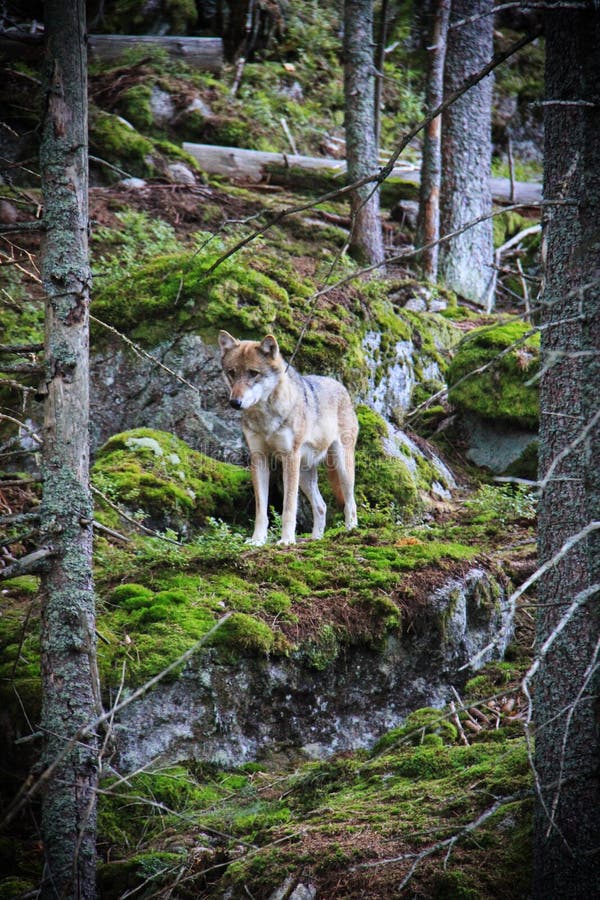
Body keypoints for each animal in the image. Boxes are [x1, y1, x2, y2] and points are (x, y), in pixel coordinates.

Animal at [218, 330, 358, 545]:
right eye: (232, 373)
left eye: (253, 373)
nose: (235, 402)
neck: (265, 417)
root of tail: (341, 387)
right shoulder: (258, 458)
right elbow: (261, 511)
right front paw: (257, 540)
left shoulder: (289, 457)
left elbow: (288, 508)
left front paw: (286, 540)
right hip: (305, 475)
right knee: (321, 506)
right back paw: (316, 538)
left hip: (341, 468)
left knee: (351, 503)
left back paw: (351, 530)